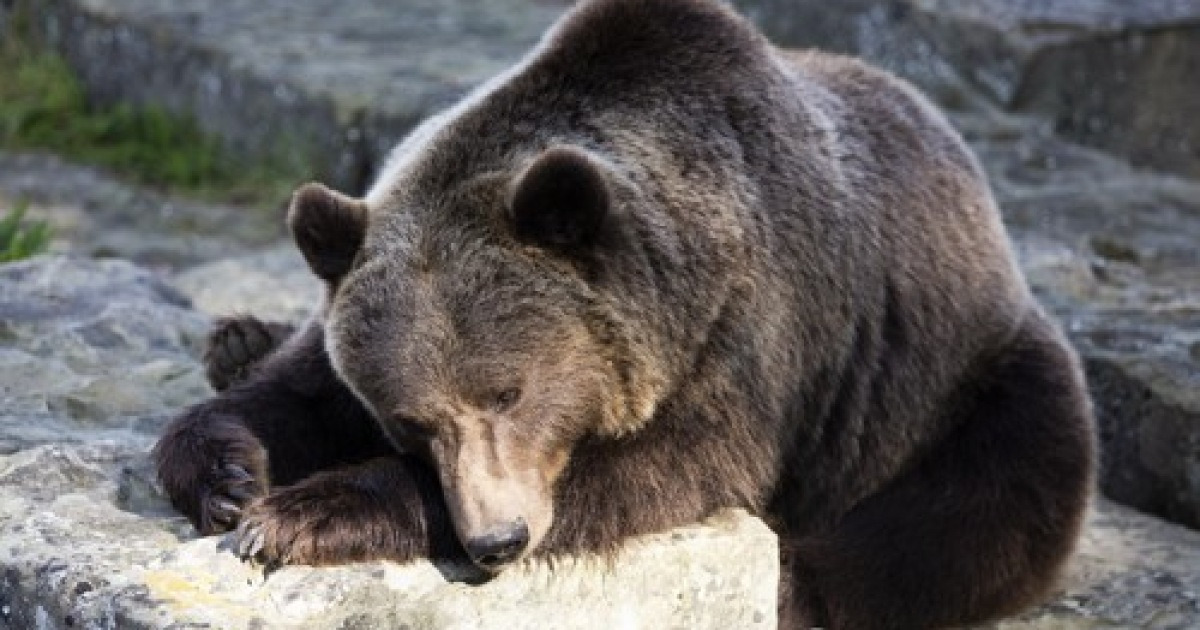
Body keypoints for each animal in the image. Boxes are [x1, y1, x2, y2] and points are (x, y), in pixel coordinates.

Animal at [153, 0, 1097, 627]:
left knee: (964, 513)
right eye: (410, 418)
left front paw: (300, 514)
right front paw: (231, 480)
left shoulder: (751, 339)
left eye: (509, 393)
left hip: (955, 384)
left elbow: (654, 472)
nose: (497, 539)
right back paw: (236, 336)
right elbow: (291, 395)